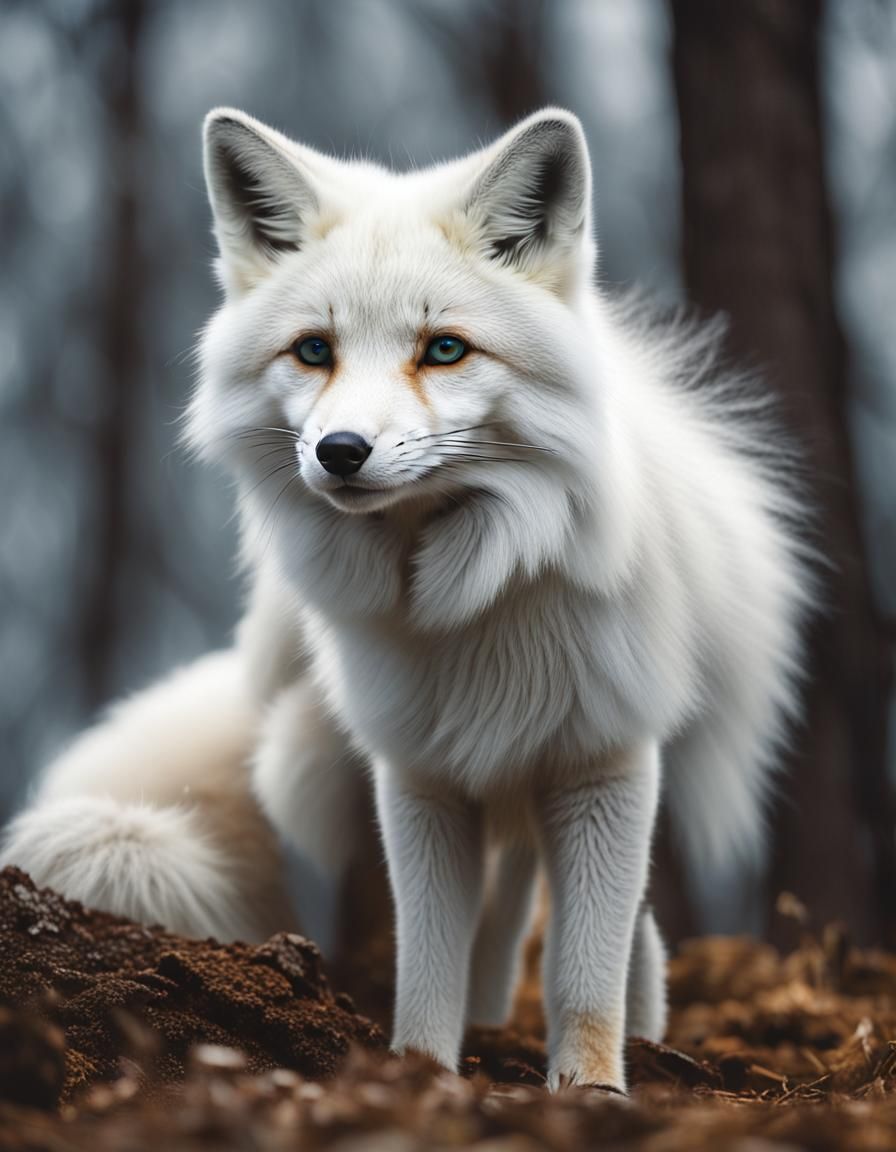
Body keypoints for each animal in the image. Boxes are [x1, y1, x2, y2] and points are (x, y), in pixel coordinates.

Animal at [2, 107, 811, 1092]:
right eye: (315, 350)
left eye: (445, 349)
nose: (340, 451)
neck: (470, 596)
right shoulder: (418, 771)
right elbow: (426, 963)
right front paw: (420, 1073)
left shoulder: (604, 761)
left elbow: (586, 970)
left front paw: (593, 1089)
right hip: (331, 759)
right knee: (472, 923)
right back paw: (490, 1018)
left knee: (615, 929)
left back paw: (641, 1036)